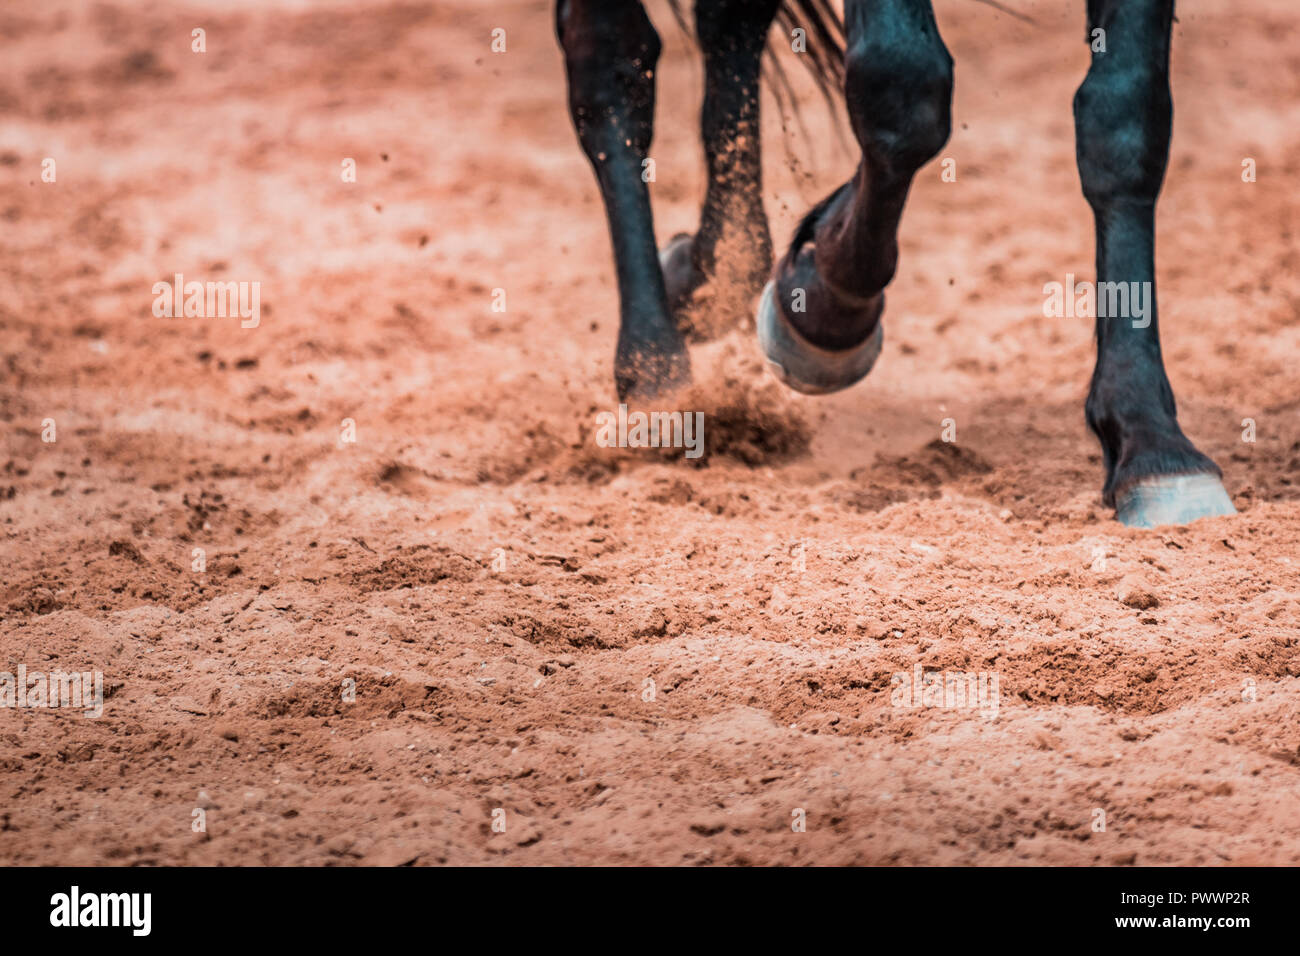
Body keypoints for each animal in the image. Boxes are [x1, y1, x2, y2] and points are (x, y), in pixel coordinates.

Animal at [554, 0, 1235, 529]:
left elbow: (1125, 120)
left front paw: (1152, 445)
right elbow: (903, 89)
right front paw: (823, 304)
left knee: (726, 27)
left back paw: (715, 272)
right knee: (611, 61)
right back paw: (655, 378)